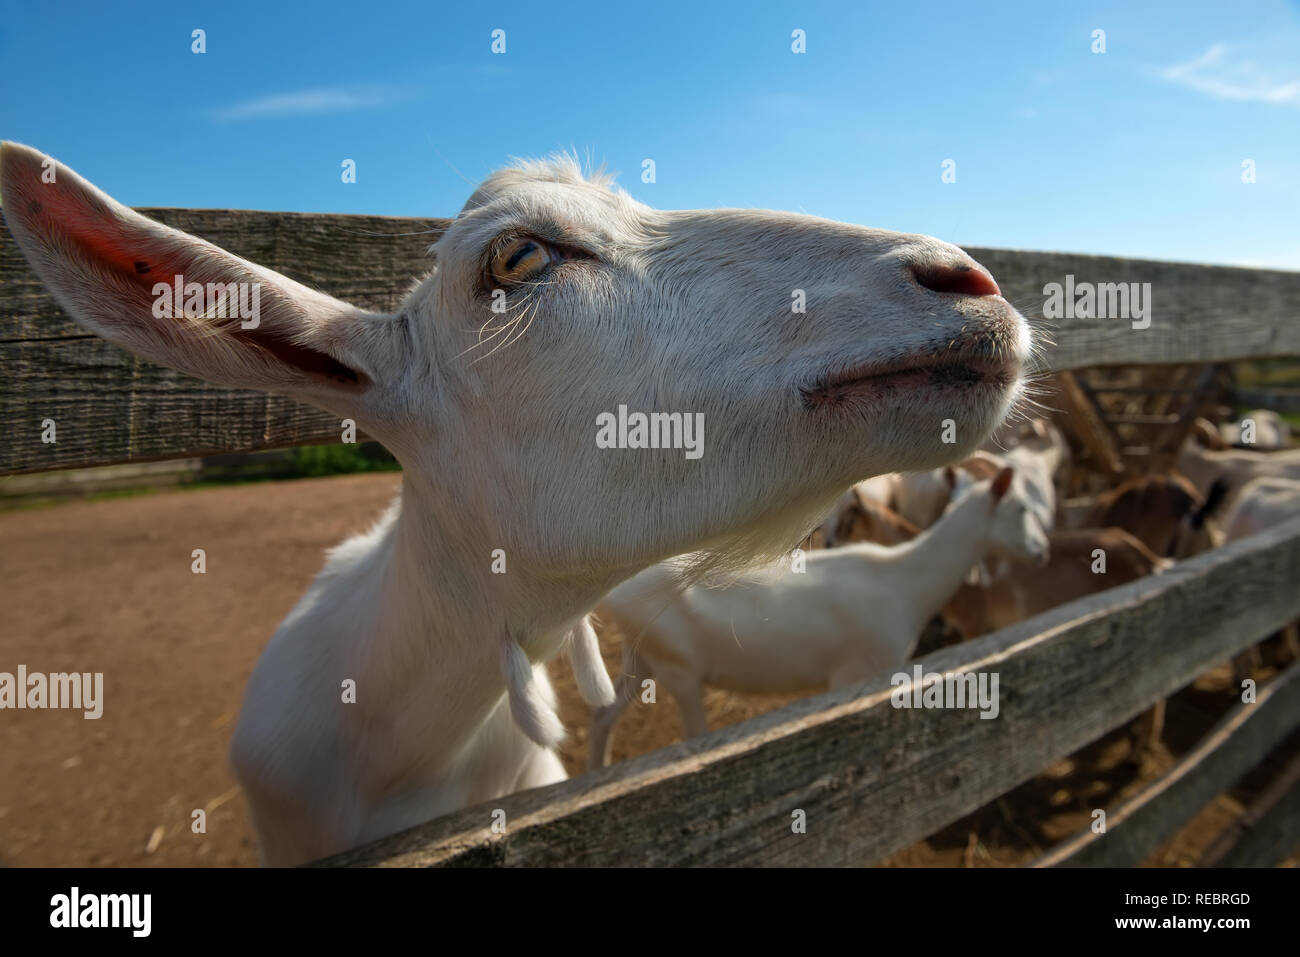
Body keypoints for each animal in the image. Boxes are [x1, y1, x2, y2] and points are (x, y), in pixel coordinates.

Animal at [588, 467, 1048, 769]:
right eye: (1021, 509)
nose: (1041, 551)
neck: (906, 582)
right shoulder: (854, 672)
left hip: (644, 654)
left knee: (602, 715)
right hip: (677, 667)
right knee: (694, 735)